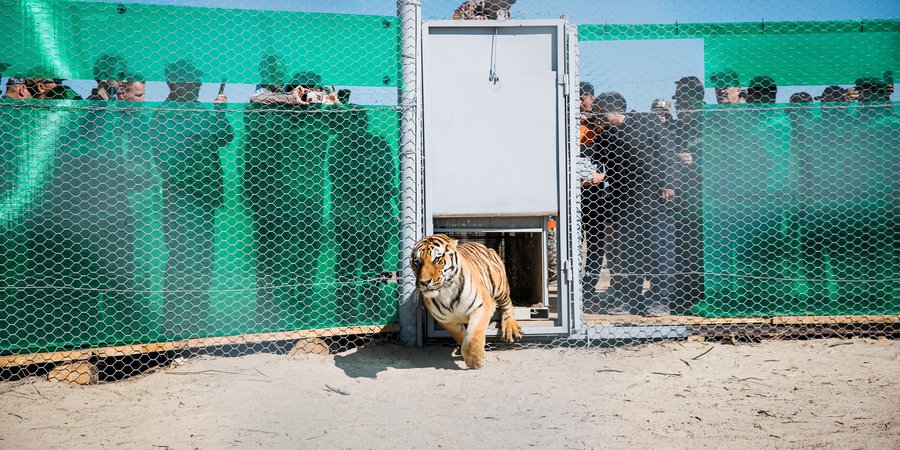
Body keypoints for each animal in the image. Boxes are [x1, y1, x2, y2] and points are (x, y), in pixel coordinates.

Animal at [410, 234, 523, 369]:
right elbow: (461, 336)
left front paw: (476, 361)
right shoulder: (446, 320)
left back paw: (511, 329)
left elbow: (473, 336)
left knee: (508, 306)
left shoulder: (482, 305)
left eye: (437, 259)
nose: (424, 282)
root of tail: (484, 246)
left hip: (500, 286)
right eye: (417, 262)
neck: (446, 292)